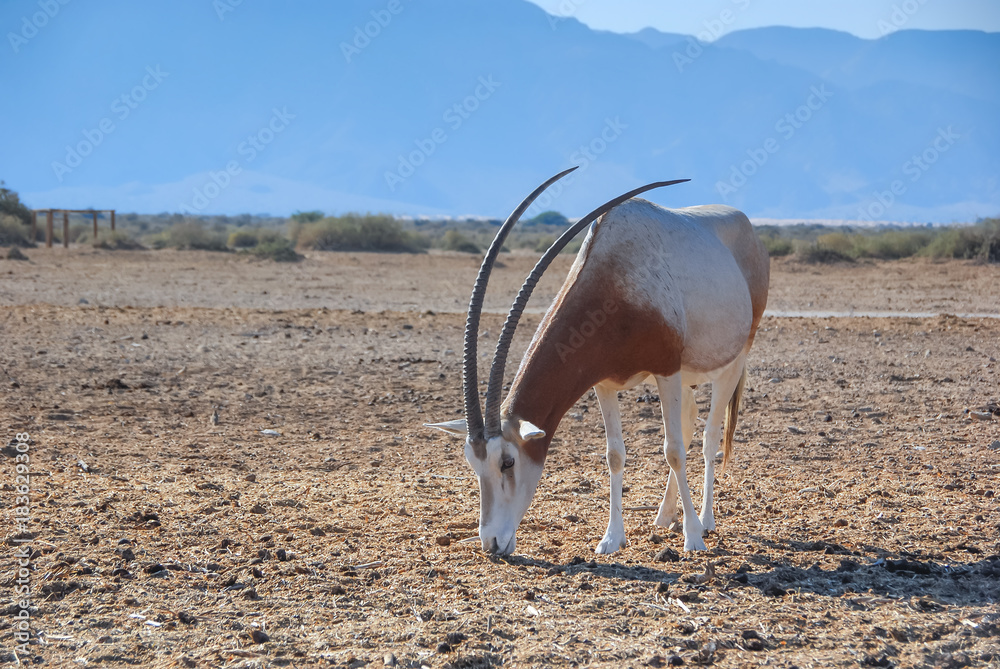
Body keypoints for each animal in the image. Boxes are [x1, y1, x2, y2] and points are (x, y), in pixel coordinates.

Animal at [428, 168, 769, 554]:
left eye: (508, 461)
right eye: (473, 462)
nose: (492, 543)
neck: (615, 274)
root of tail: (745, 225)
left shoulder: (666, 370)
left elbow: (673, 451)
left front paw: (693, 536)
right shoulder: (604, 383)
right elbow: (615, 454)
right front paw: (611, 538)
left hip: (733, 360)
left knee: (710, 437)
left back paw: (706, 521)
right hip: (686, 377)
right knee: (689, 420)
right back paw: (665, 516)